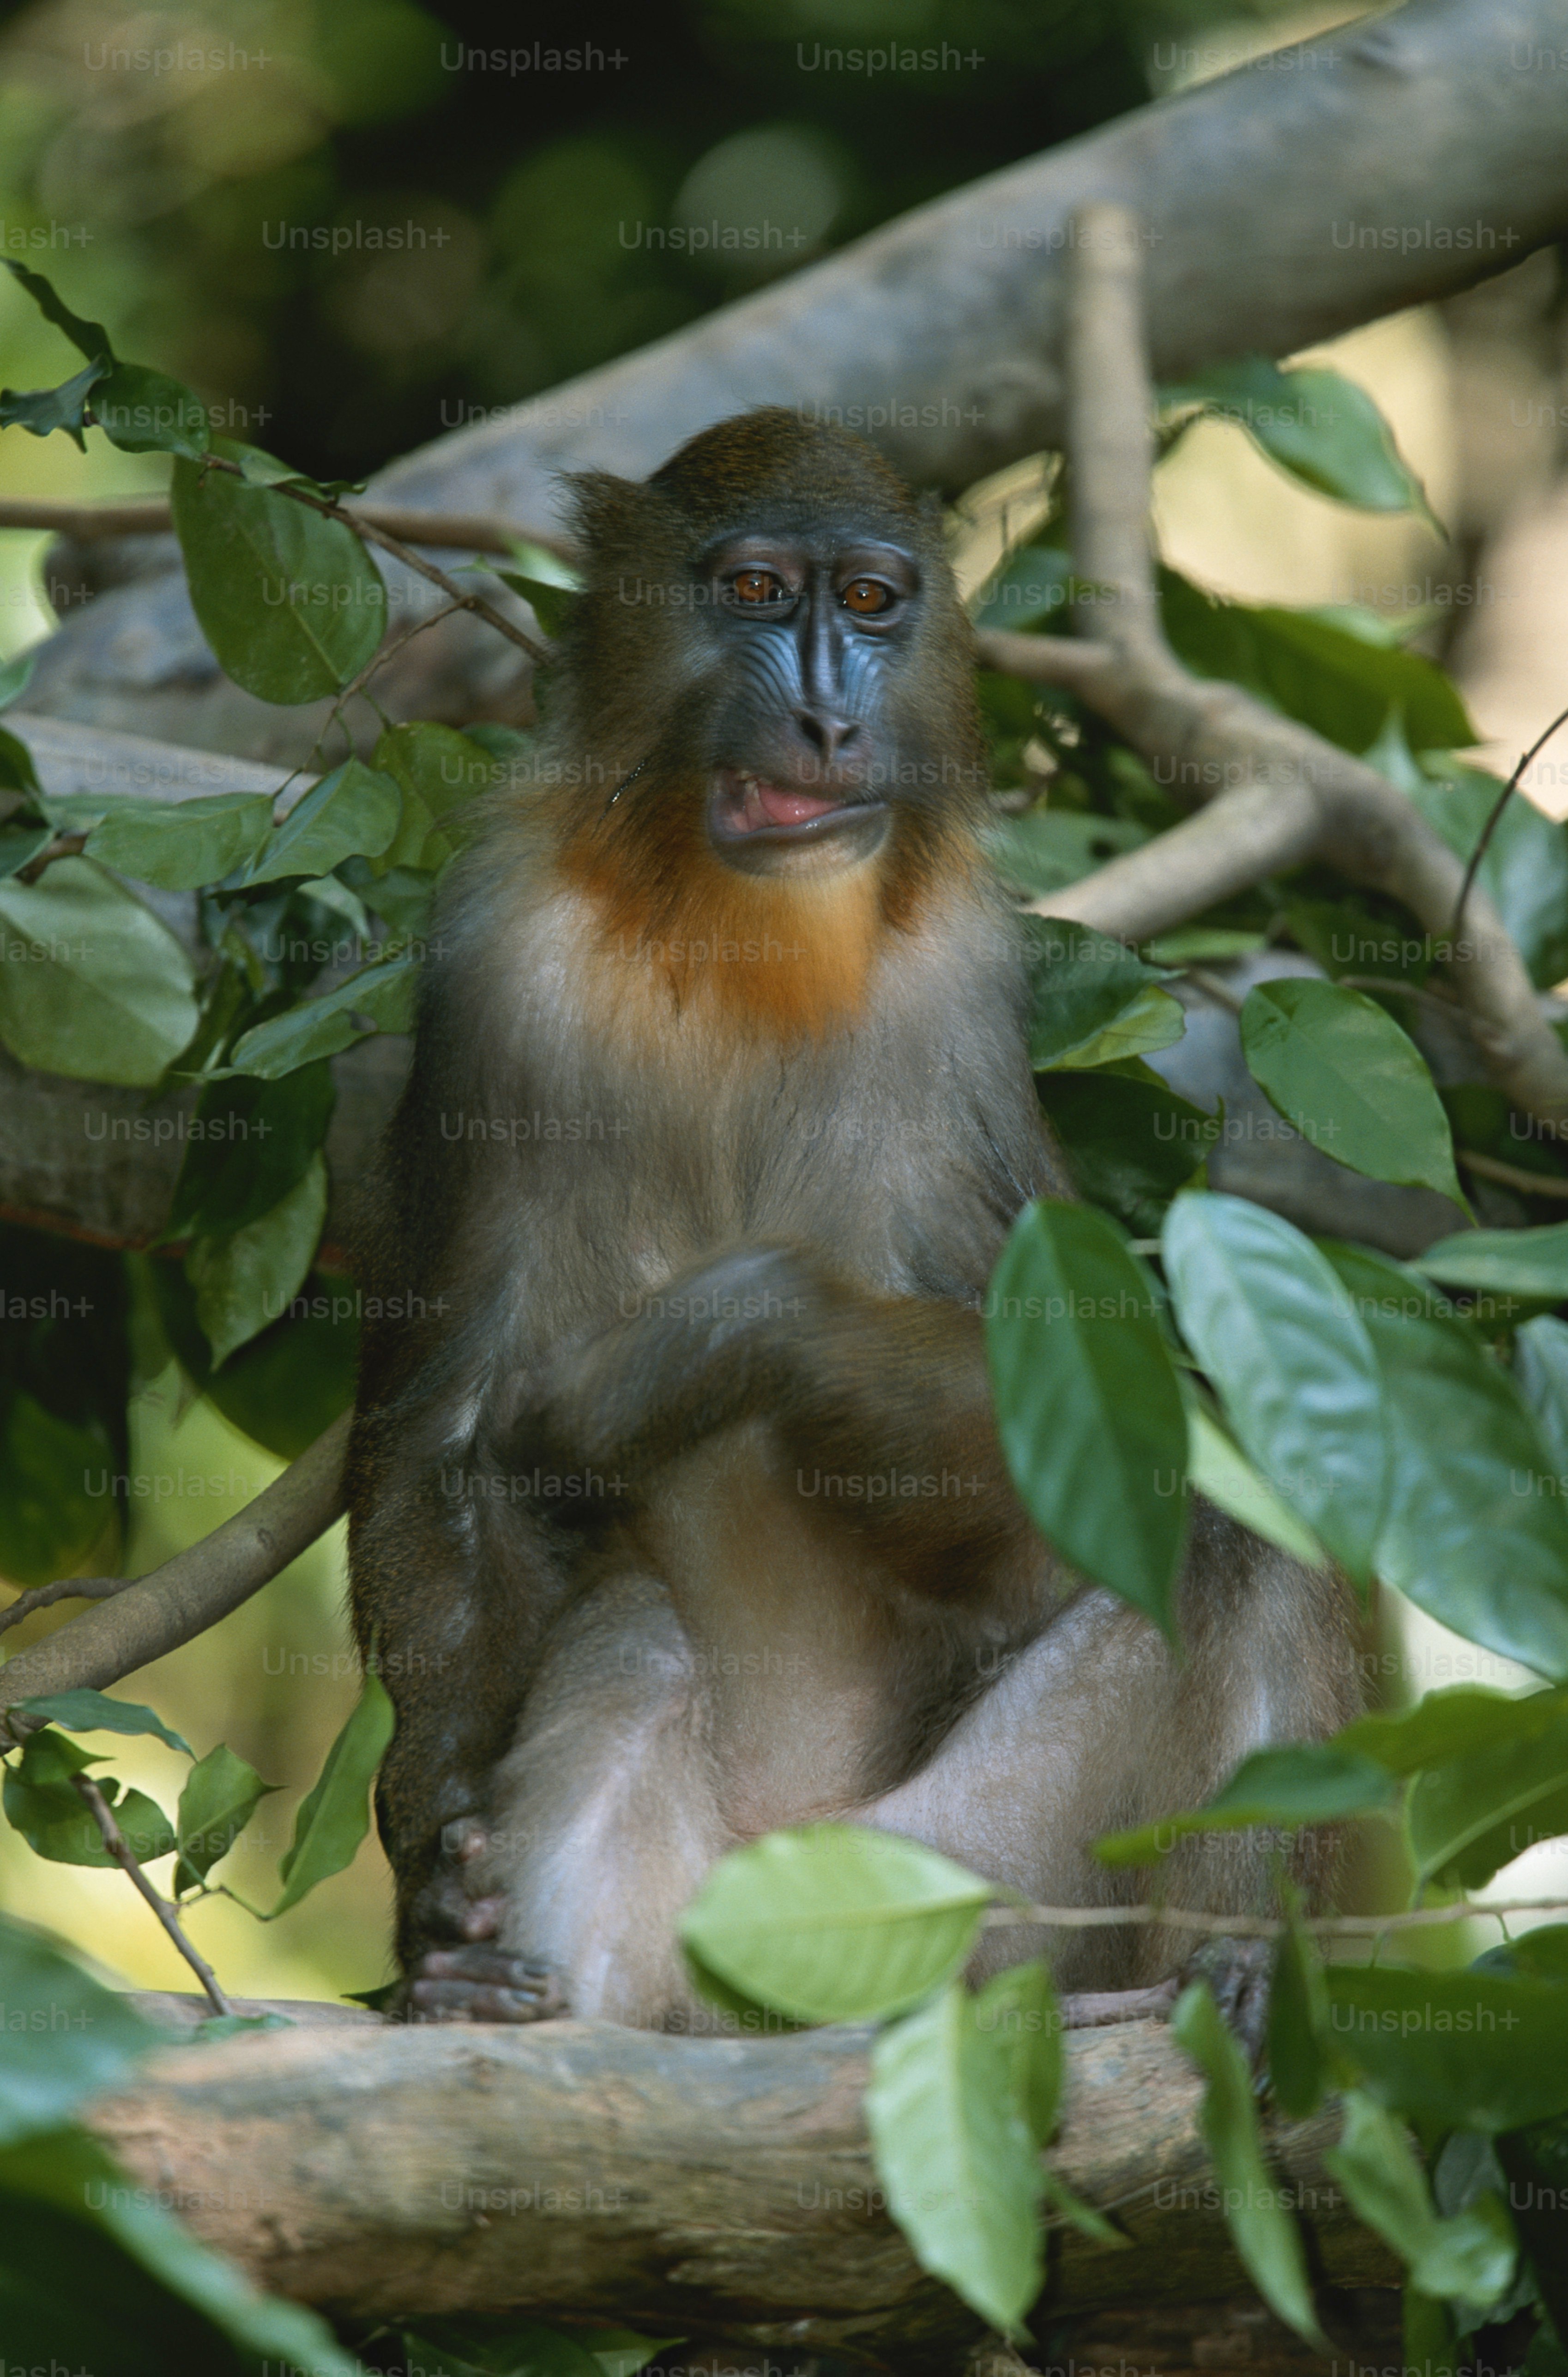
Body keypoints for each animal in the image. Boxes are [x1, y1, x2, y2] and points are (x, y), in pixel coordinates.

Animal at [346, 408, 1358, 2030]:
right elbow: (444, 1428)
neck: (731, 934)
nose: (827, 717)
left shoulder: (960, 982)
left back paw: (1237, 1968)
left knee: (1238, 1519)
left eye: (873, 603)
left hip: (989, 1884)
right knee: (632, 1644)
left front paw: (729, 1328)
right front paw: (434, 1894)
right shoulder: (494, 946)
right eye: (757, 590)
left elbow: (1083, 1412)